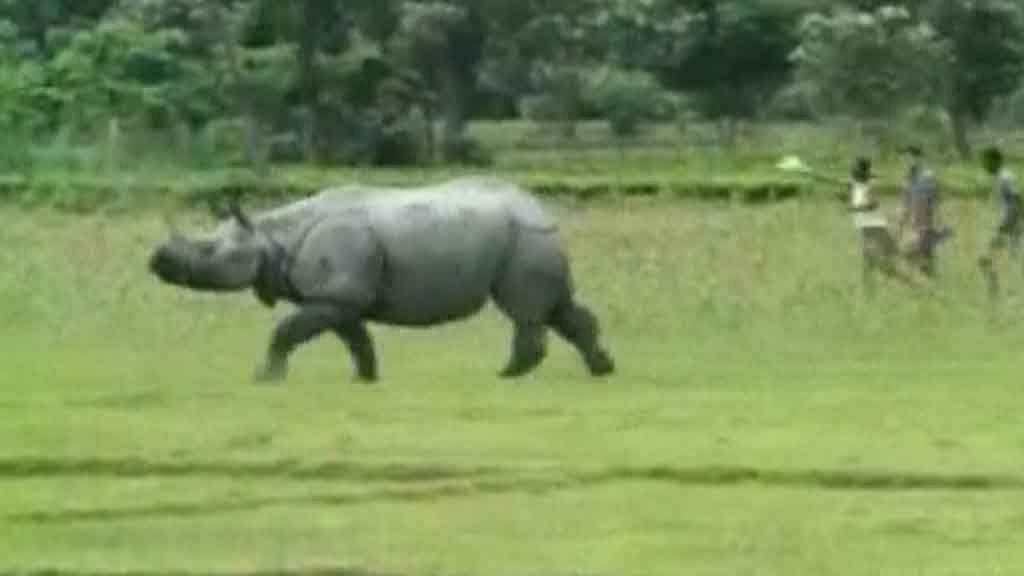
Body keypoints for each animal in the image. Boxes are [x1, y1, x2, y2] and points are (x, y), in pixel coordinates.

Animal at [148, 176, 615, 383]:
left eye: (209, 252)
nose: (156, 262)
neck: (271, 236)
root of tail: (541, 208)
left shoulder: (335, 293)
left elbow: (287, 330)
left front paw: (266, 377)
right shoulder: (340, 297)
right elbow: (356, 337)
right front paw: (366, 378)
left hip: (523, 238)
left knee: (525, 311)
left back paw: (508, 374)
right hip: (529, 238)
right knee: (558, 308)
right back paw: (602, 368)